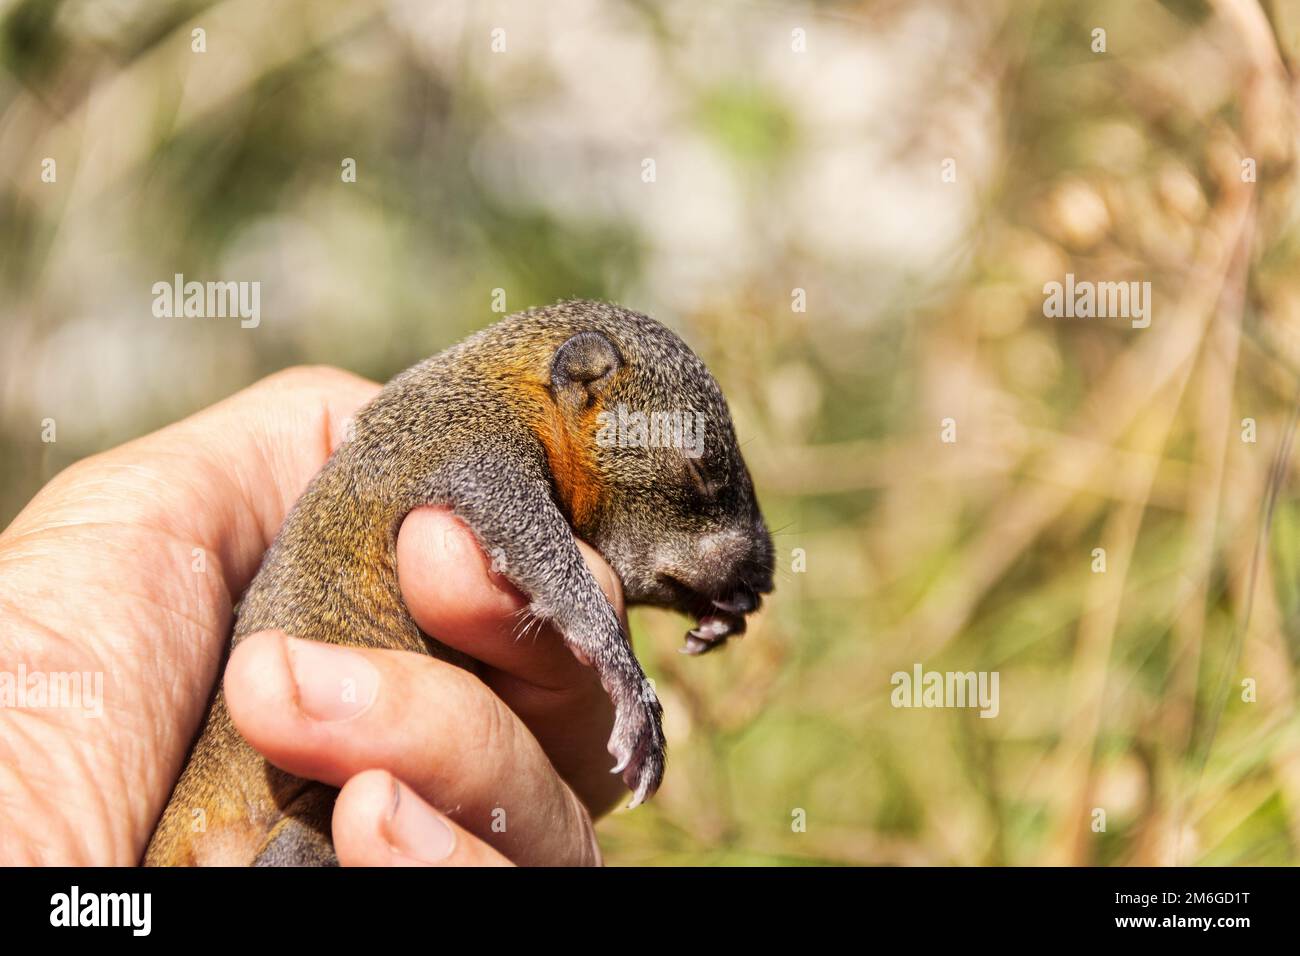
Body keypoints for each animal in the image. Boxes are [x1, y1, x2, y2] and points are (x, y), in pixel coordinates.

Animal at [144, 300, 775, 866]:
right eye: (704, 475)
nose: (761, 575)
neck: (517, 386)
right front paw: (619, 663)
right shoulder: (475, 445)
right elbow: (524, 528)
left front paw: (717, 619)